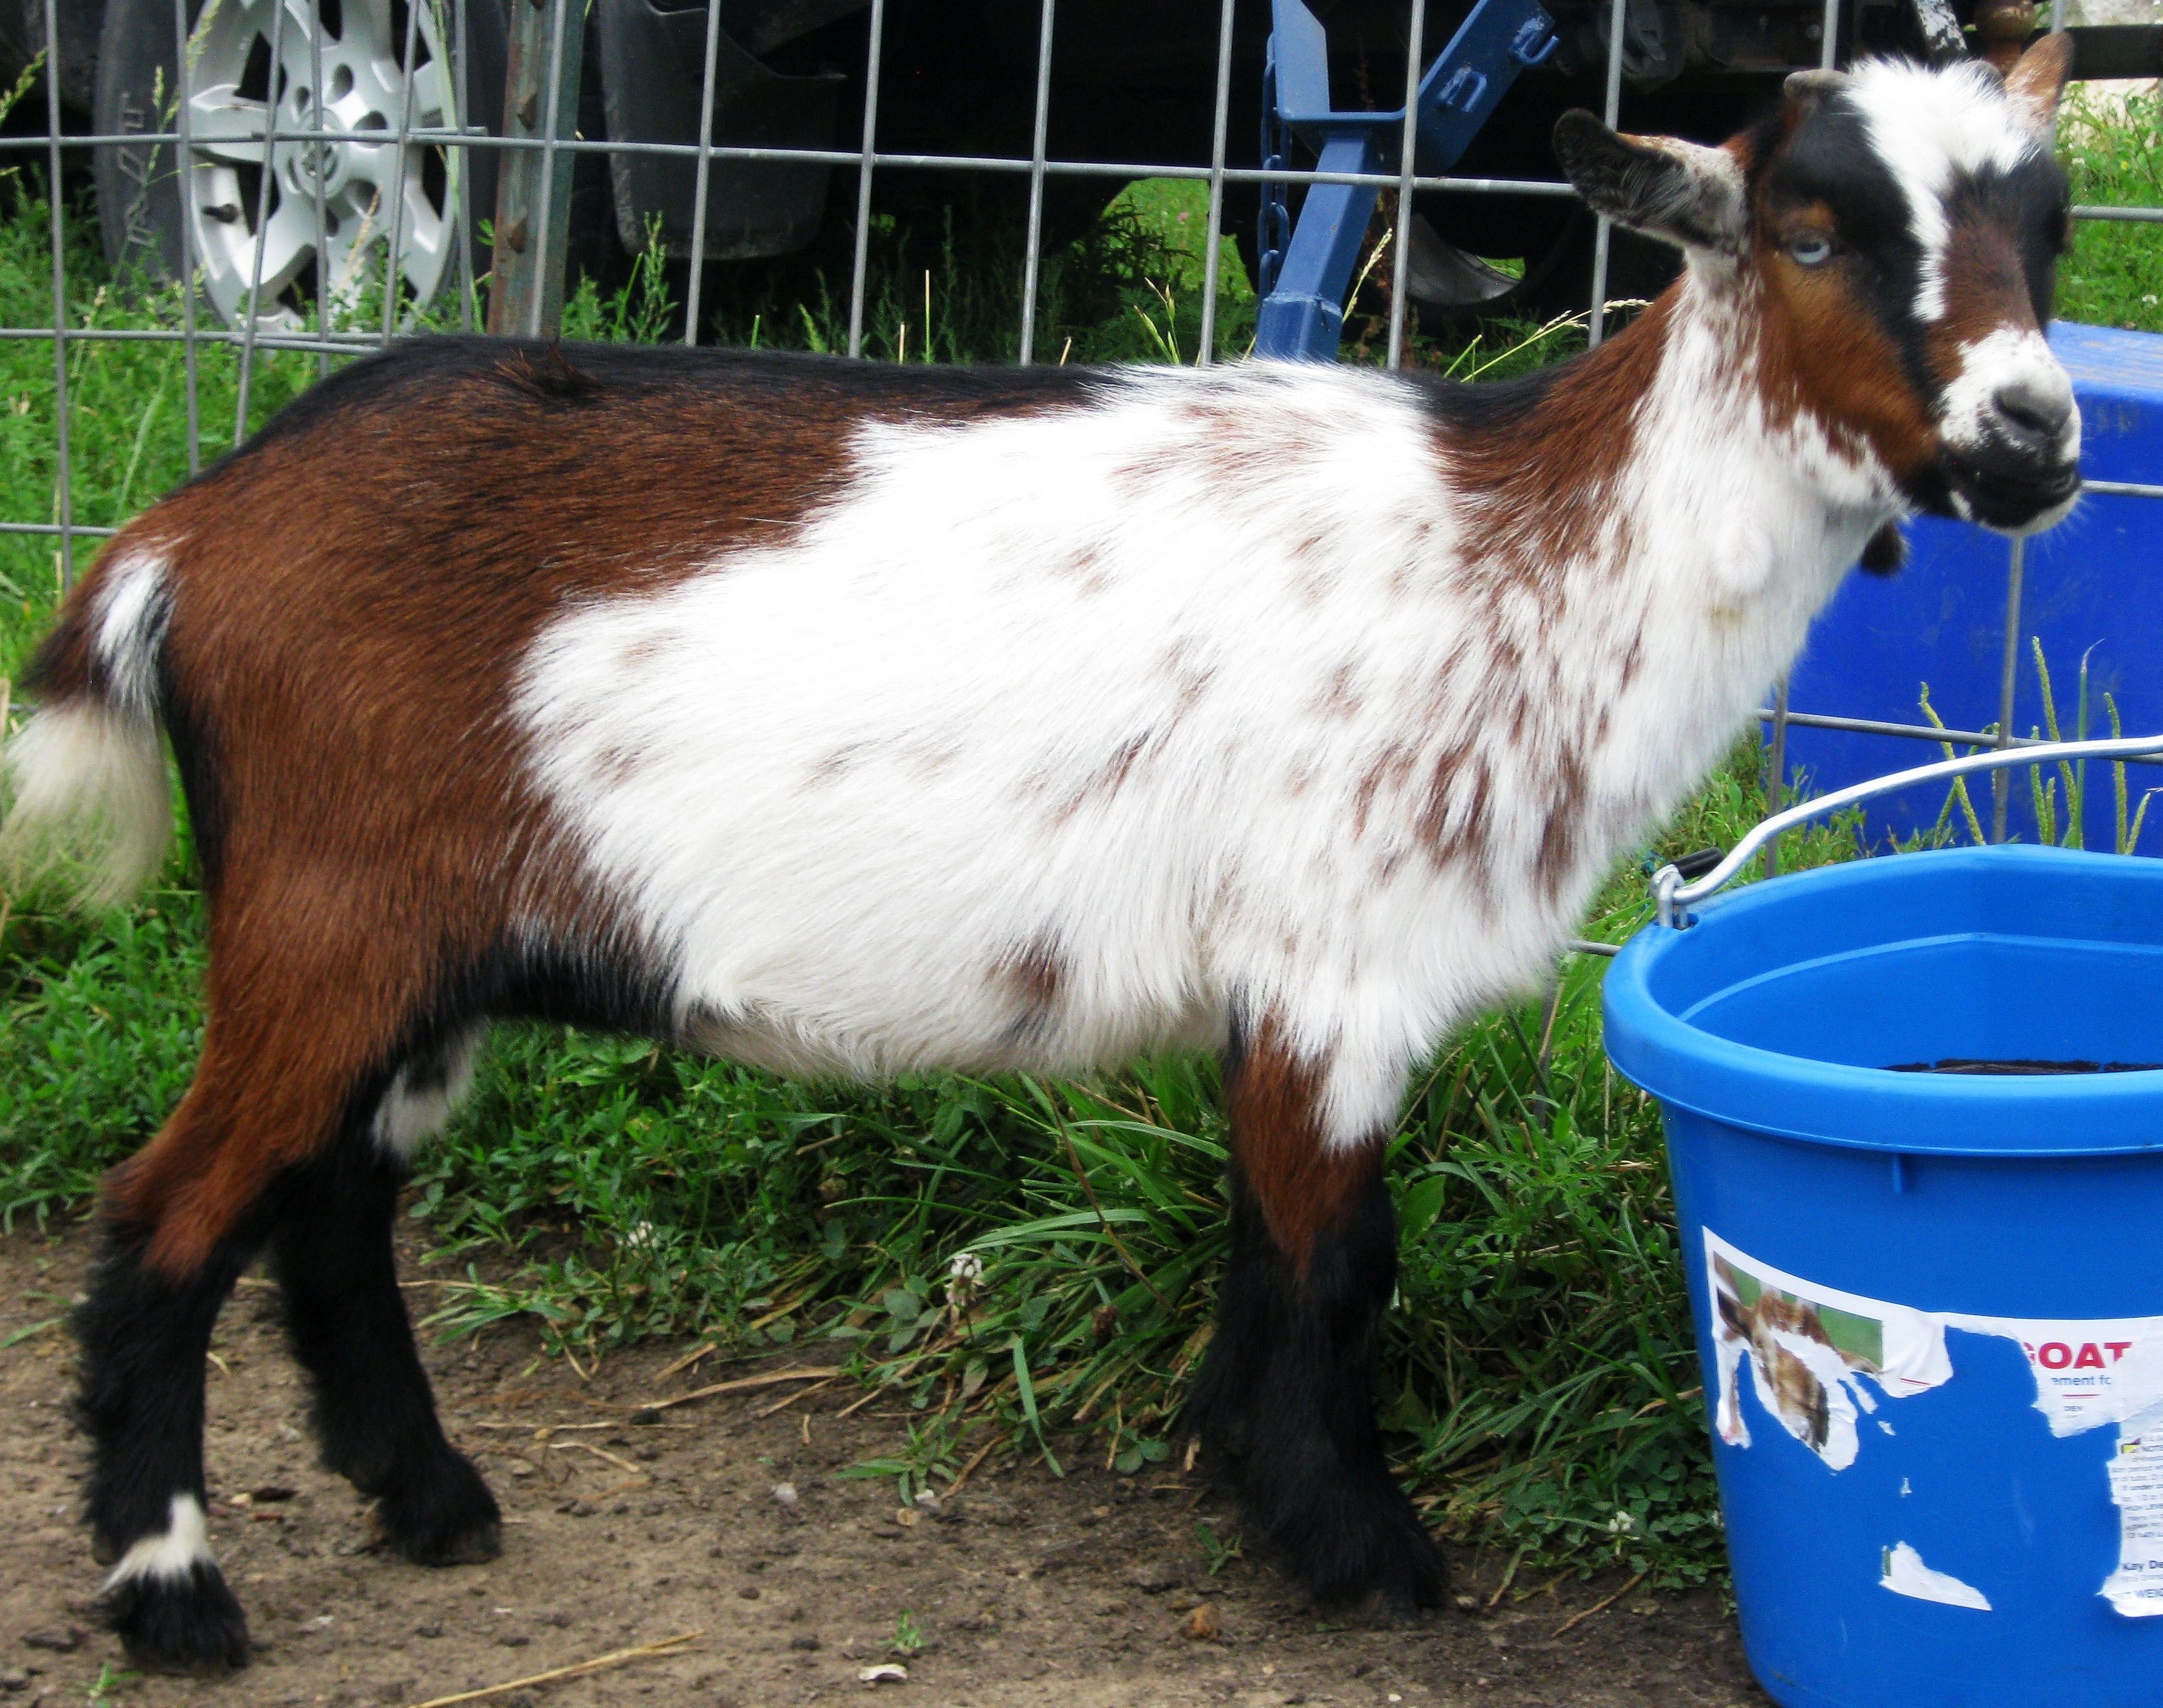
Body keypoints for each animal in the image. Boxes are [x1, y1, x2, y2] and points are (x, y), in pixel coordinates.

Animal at [3, 39, 2080, 1672]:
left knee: (333, 1206)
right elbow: (1343, 1264)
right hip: (324, 913)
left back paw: (431, 1499)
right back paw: (177, 1595)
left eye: (2046, 234)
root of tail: (183, 534)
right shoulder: (1335, 965)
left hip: (430, 948)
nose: (2037, 433)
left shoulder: (1286, 994)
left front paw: (1259, 1487)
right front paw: (1362, 1550)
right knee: (165, 1216)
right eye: (1807, 233)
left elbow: (1274, 1255)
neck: (1533, 559)